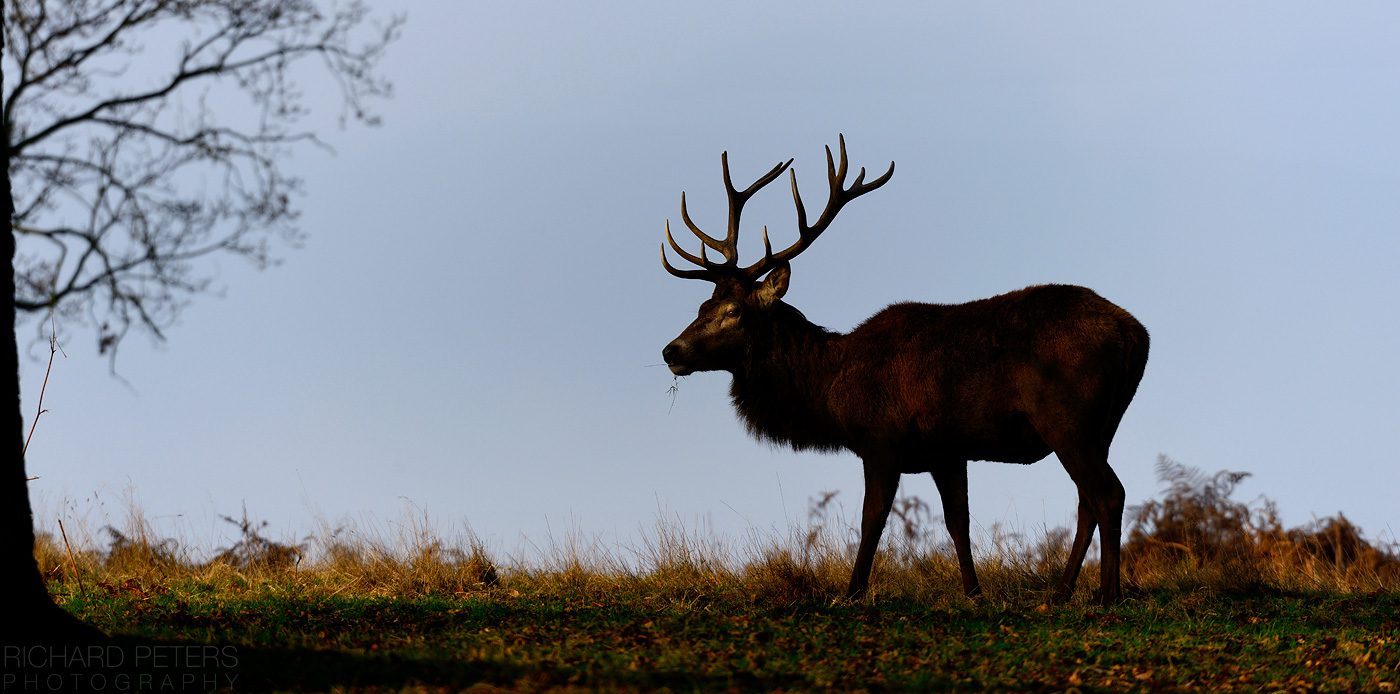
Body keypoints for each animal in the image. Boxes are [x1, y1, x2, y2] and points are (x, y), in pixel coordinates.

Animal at [660, 136, 1149, 604]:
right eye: (702, 306)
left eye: (734, 311)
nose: (670, 350)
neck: (831, 390)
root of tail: (1136, 335)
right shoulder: (946, 451)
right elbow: (958, 523)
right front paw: (974, 593)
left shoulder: (881, 438)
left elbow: (872, 519)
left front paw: (852, 592)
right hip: (1103, 425)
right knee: (1087, 501)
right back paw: (1064, 592)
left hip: (1067, 418)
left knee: (1108, 493)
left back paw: (1107, 595)